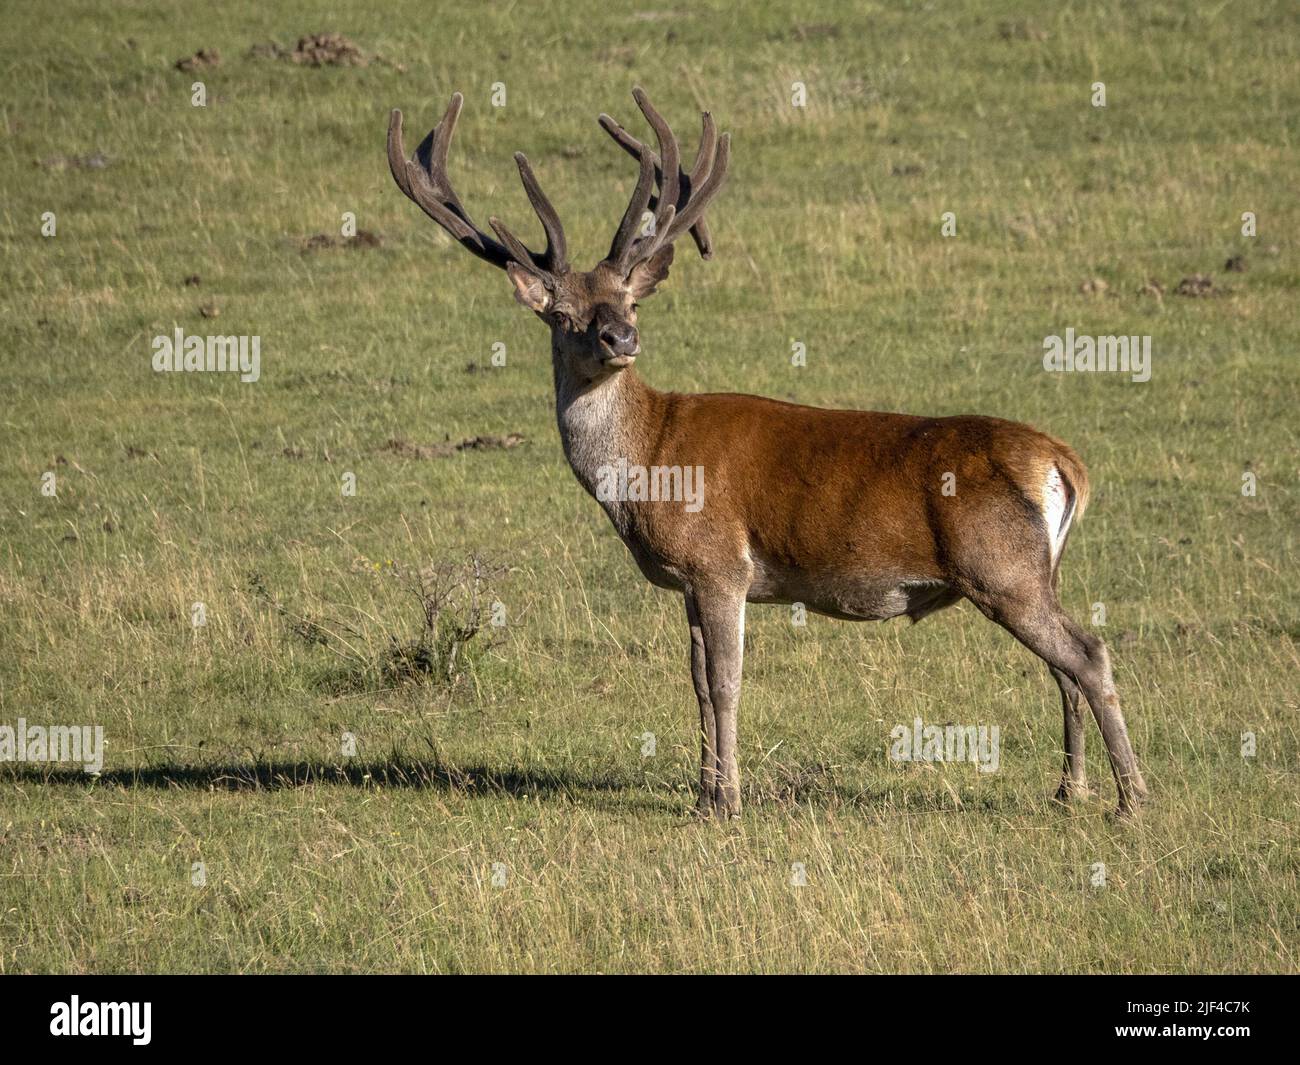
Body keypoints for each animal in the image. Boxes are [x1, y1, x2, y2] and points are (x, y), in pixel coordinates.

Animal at [385, 88, 1149, 821]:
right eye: (564, 313)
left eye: (630, 301)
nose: (621, 338)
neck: (649, 458)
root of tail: (1063, 463)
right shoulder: (690, 581)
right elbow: (697, 682)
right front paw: (701, 795)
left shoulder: (719, 561)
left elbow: (726, 682)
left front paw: (727, 800)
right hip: (1033, 572)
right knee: (1064, 667)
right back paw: (1069, 790)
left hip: (1002, 567)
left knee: (1089, 653)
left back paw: (1131, 798)